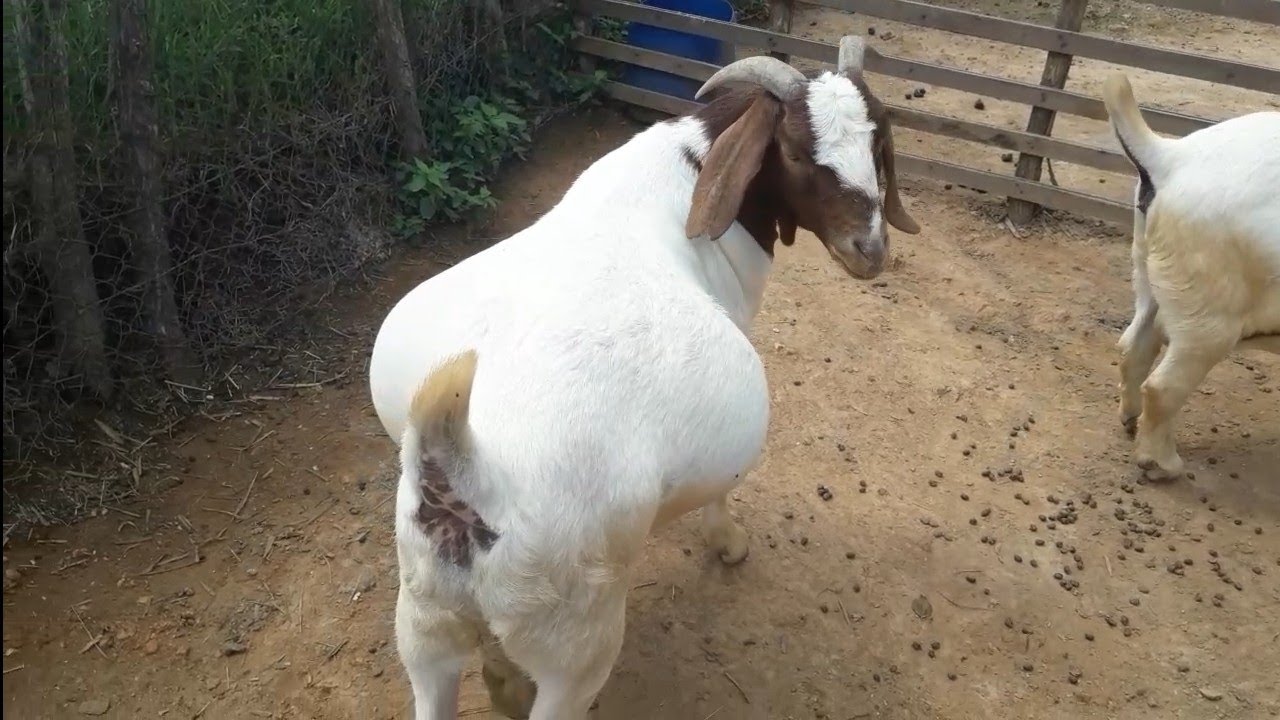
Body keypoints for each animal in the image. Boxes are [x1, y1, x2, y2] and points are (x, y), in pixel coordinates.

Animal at [369, 37, 920, 720]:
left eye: (879, 143)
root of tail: (464, 469)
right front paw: (728, 543)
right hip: (574, 642)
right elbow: (720, 491)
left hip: (425, 625)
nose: (869, 250)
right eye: (794, 150)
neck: (685, 181)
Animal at [1102, 74, 1280, 480]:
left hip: (1150, 272)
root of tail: (1170, 157)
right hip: (1210, 309)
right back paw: (1163, 466)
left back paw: (1129, 421)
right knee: (1163, 386)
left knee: (1135, 344)